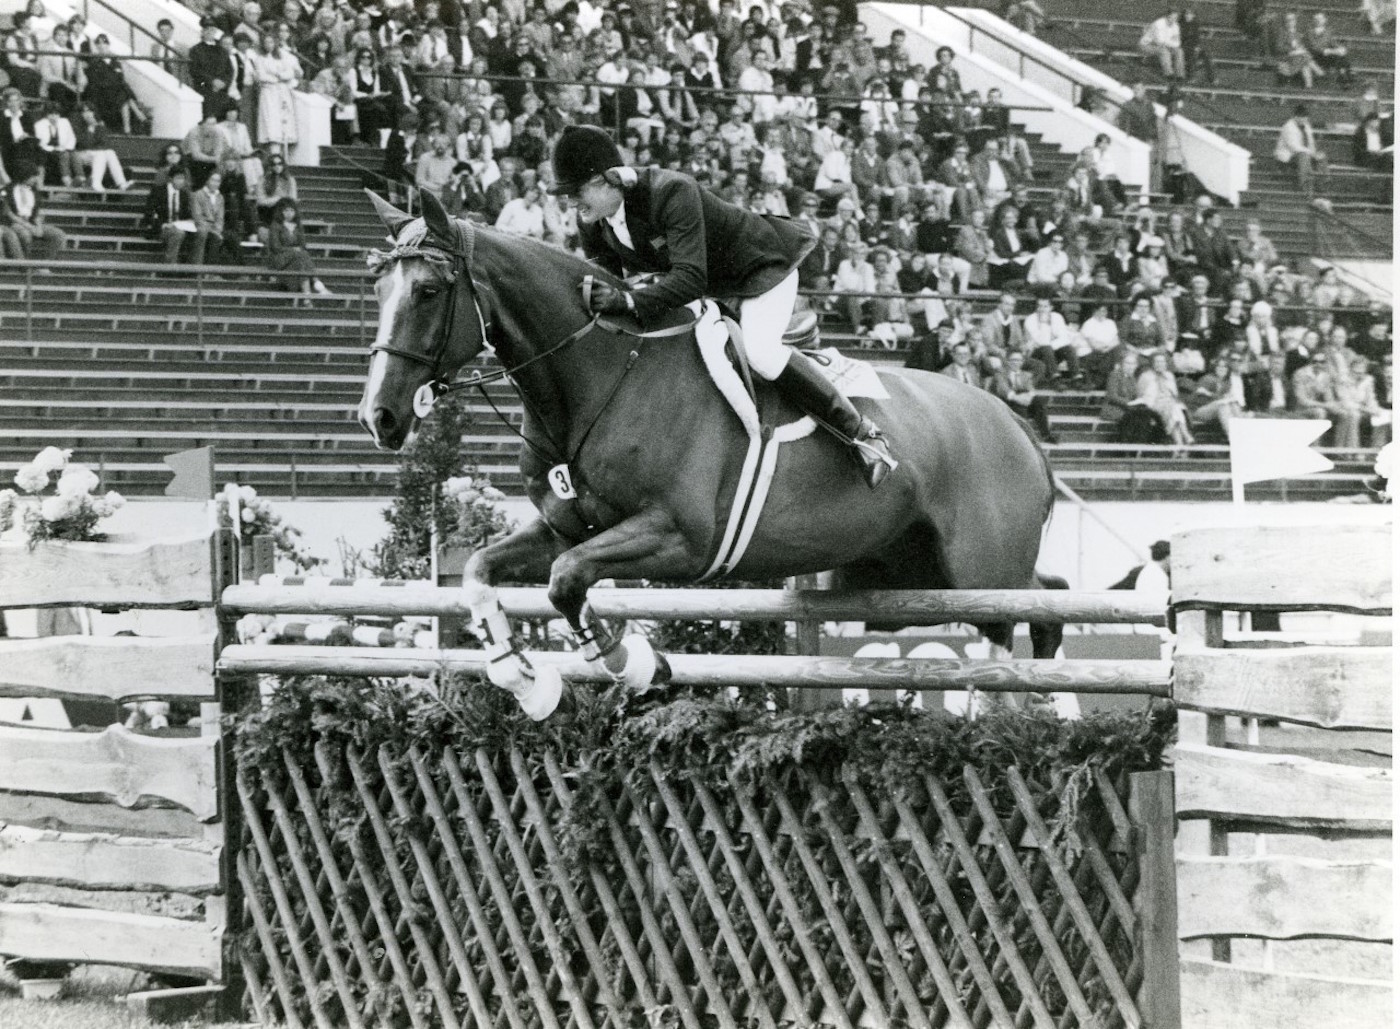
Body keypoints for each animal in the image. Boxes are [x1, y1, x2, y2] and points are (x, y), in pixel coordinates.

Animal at [358, 189, 1064, 719]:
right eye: (378, 291)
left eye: (428, 291)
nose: (378, 417)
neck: (602, 371)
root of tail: (1012, 420)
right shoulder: (566, 527)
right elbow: (484, 571)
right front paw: (528, 683)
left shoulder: (681, 539)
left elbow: (566, 582)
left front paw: (636, 665)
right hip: (906, 576)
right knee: (1045, 596)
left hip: (976, 572)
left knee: (1029, 610)